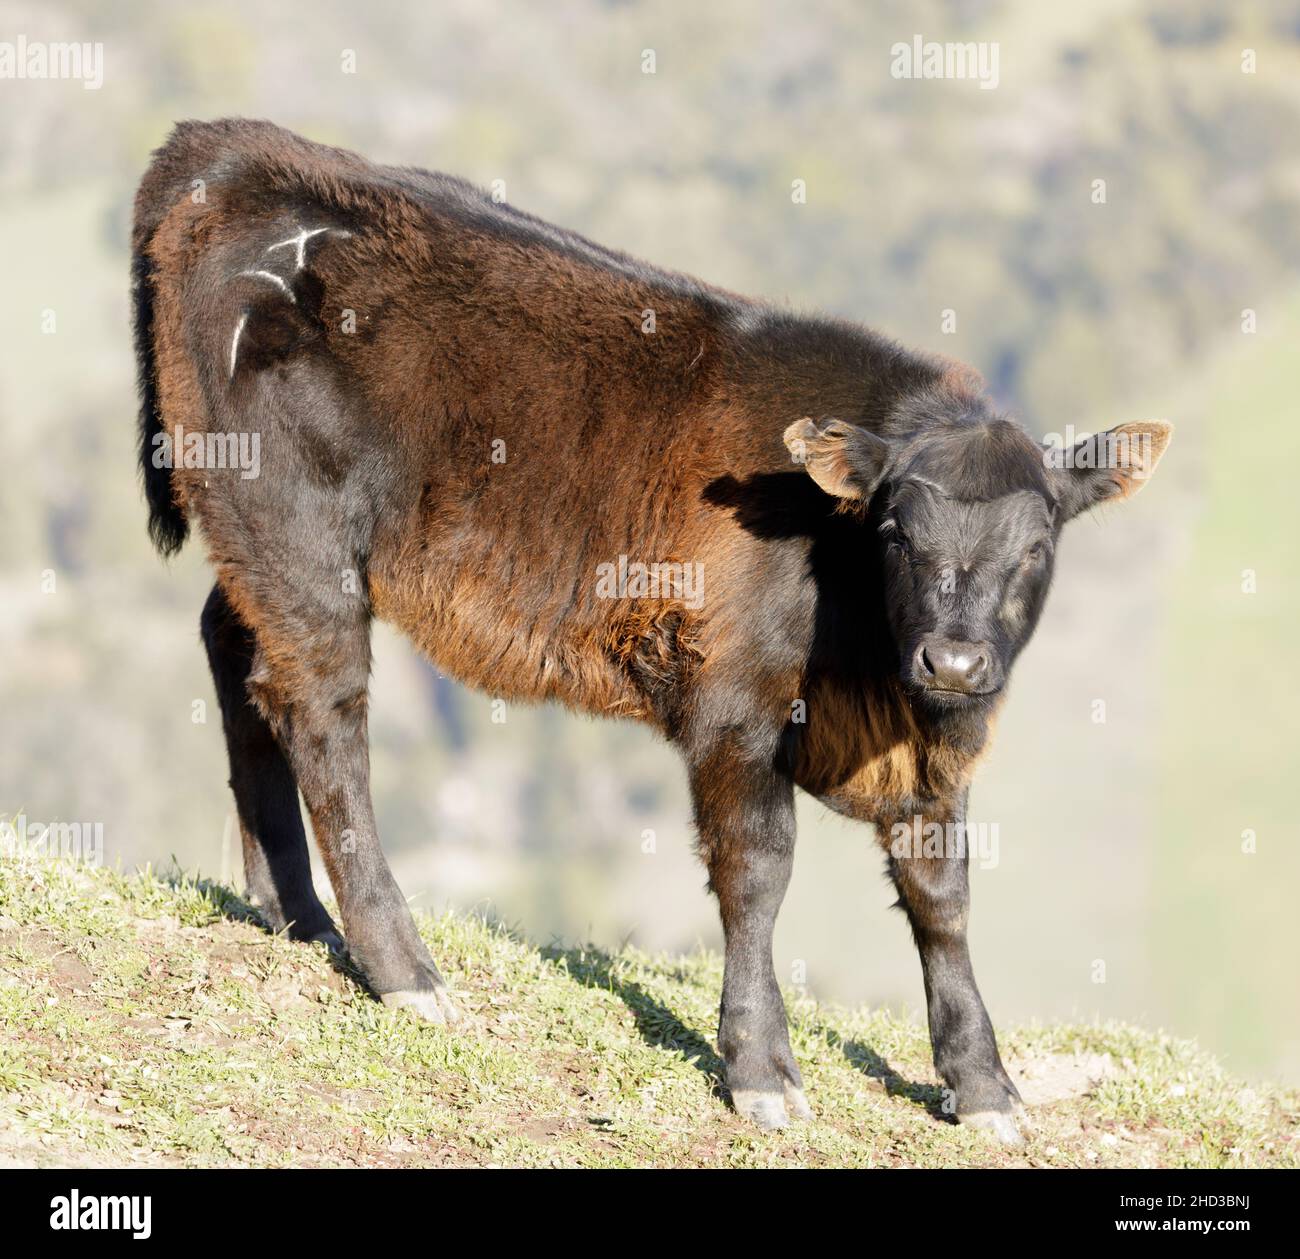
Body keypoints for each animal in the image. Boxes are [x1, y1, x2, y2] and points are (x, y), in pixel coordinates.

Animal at [132, 119, 1171, 1144]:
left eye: (1037, 545)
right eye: (895, 532)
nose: (952, 658)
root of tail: (228, 149)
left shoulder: (929, 747)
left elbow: (941, 892)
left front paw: (984, 1083)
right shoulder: (735, 703)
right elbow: (758, 870)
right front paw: (760, 1068)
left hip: (253, 545)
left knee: (237, 655)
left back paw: (295, 910)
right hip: (299, 538)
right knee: (324, 717)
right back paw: (401, 966)